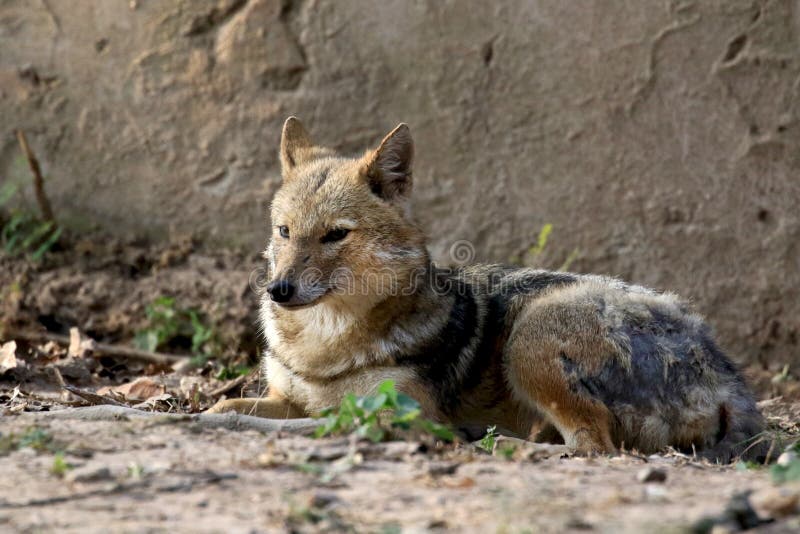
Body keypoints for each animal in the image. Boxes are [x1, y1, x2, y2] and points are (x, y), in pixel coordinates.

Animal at [208, 117, 768, 462]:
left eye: (335, 235)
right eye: (285, 232)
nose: (278, 289)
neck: (323, 348)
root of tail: (725, 369)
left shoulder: (398, 418)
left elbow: (305, 426)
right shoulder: (286, 395)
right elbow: (229, 405)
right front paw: (208, 415)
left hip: (531, 335)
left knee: (593, 446)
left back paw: (495, 444)